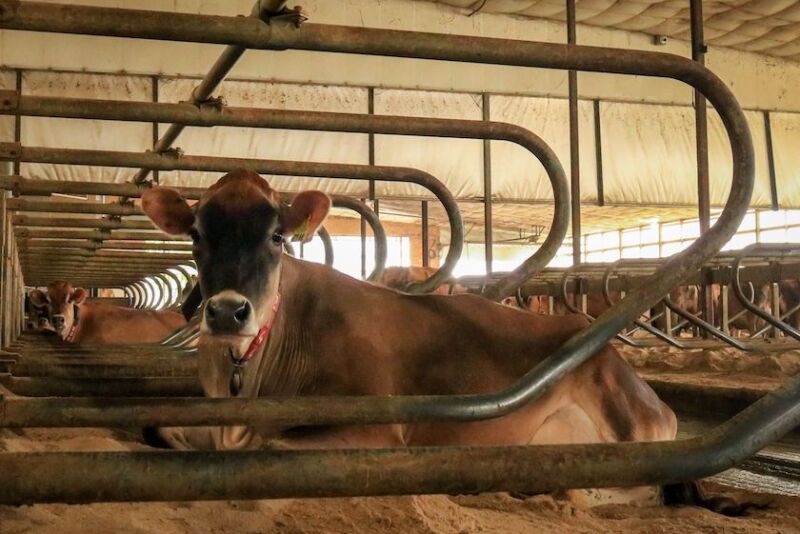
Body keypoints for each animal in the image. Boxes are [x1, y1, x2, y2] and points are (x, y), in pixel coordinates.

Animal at [140, 169, 747, 514]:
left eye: (277, 236)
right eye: (196, 235)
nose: (226, 310)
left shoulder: (380, 433)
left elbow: (269, 456)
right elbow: (159, 426)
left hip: (630, 427)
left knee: (630, 488)